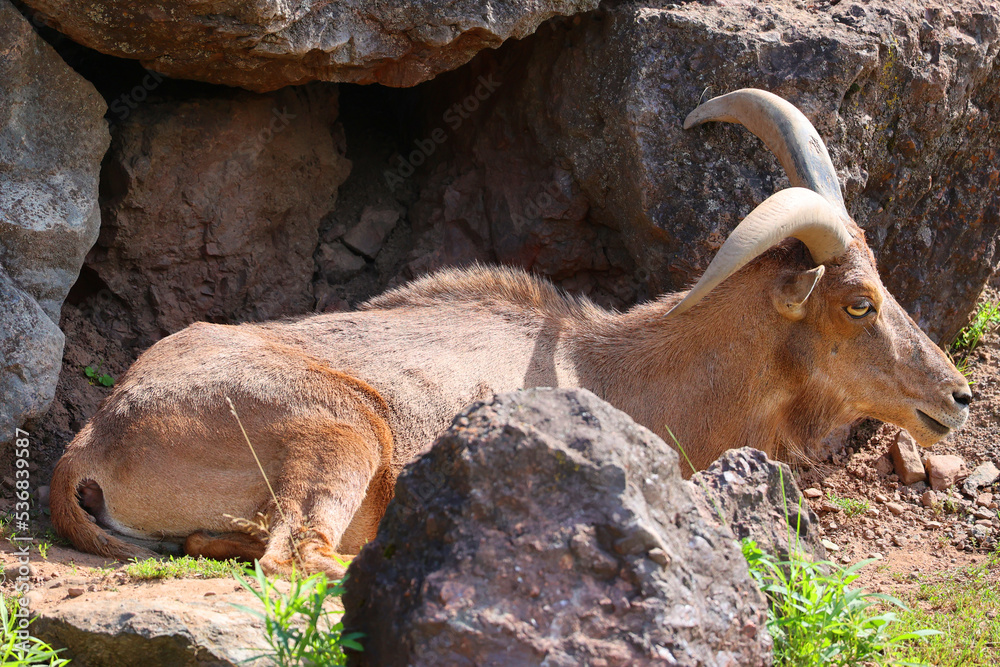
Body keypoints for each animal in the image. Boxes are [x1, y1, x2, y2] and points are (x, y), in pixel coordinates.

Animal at [51, 89, 970, 577]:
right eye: (858, 302)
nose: (957, 394)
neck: (623, 369)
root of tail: (90, 442)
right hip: (343, 427)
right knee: (298, 552)